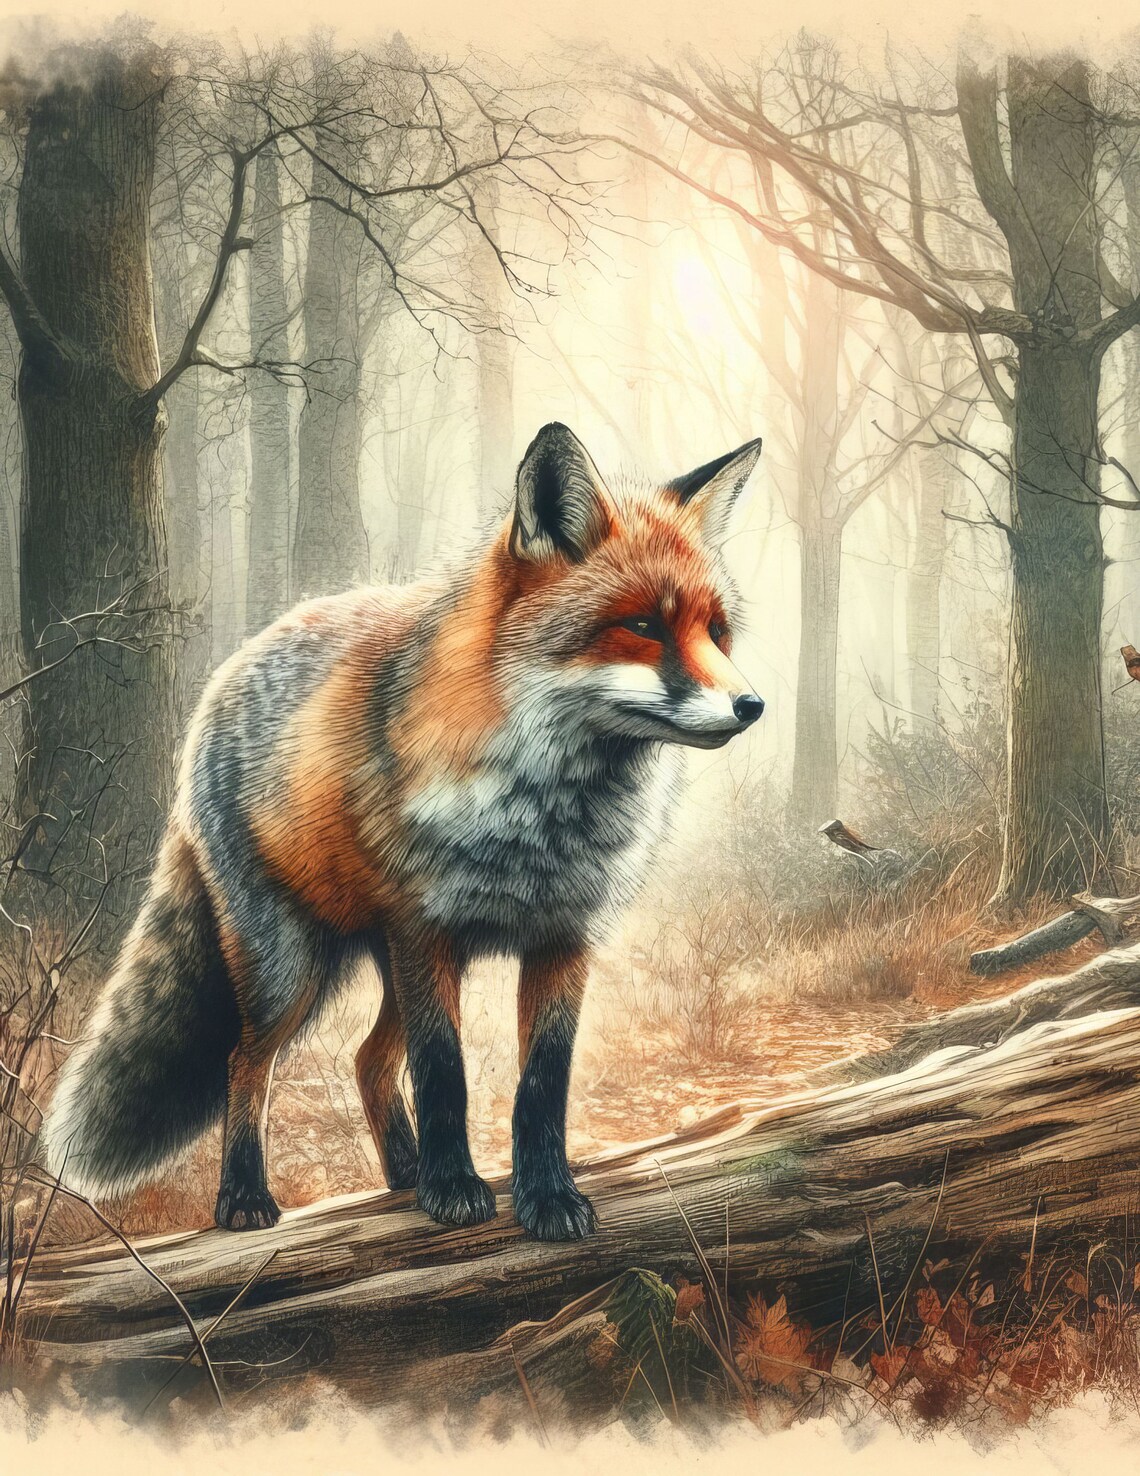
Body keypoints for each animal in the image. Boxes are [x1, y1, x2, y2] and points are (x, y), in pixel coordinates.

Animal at [39, 422, 764, 1241]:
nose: (752, 706)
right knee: (245, 1063)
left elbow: (541, 1086)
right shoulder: (427, 930)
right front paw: (454, 1189)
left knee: (366, 1059)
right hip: (293, 969)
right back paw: (248, 1195)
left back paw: (402, 1173)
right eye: (642, 626)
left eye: (717, 632)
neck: (542, 823)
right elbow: (444, 1073)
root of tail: (230, 671)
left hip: (384, 963)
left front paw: (547, 1195)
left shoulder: (564, 936)